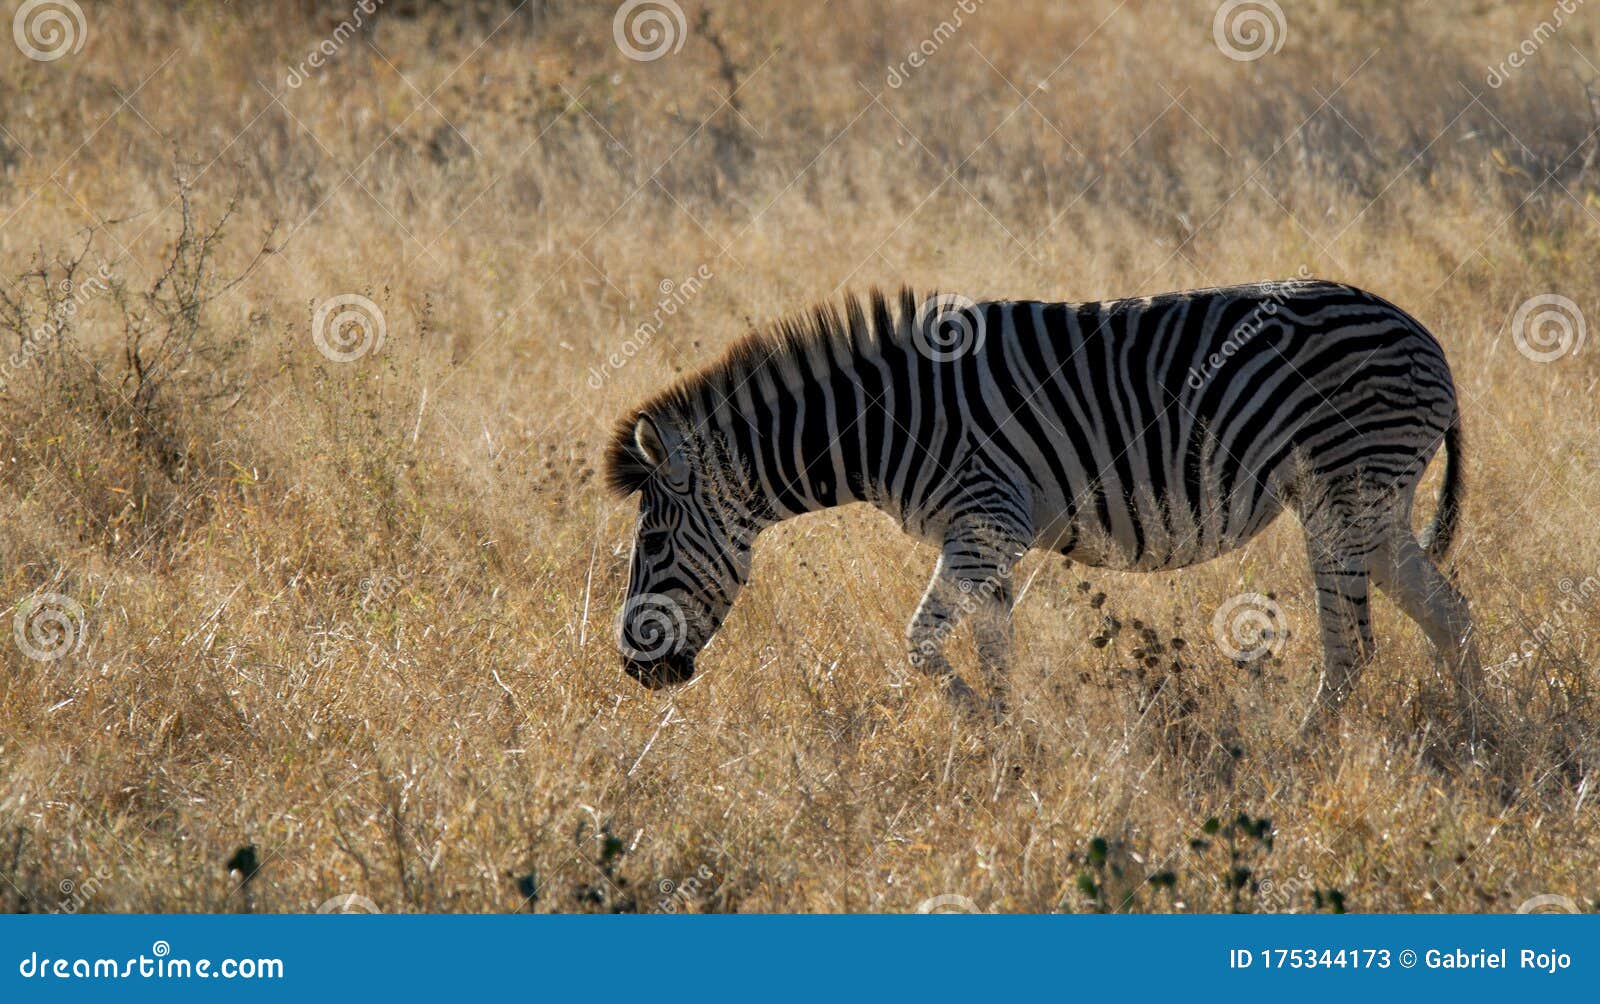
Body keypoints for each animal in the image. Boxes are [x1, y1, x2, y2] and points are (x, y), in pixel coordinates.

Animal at [604, 280, 1487, 741]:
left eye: (654, 540)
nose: (635, 671)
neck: (889, 424)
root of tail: (1425, 336)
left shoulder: (982, 524)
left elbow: (921, 643)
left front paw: (986, 728)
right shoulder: (987, 540)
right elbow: (996, 650)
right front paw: (1010, 741)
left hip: (1344, 493)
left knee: (1355, 645)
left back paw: (1301, 751)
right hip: (1372, 506)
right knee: (1451, 612)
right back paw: (1482, 731)